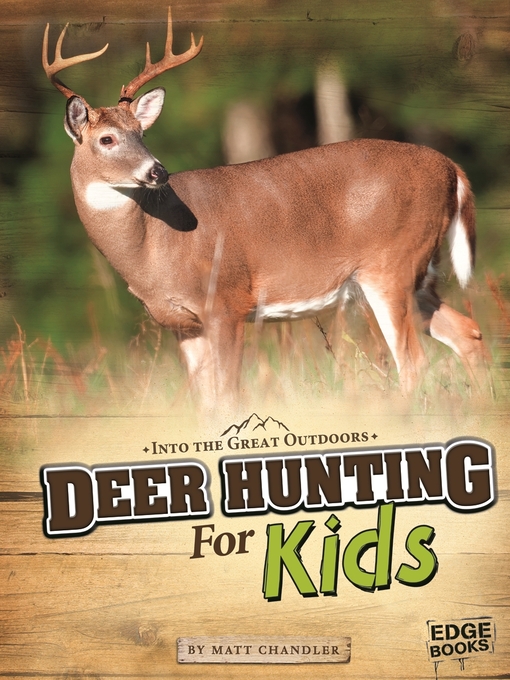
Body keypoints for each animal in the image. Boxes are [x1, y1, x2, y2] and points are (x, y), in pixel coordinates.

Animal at [42, 8, 487, 410]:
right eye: (107, 139)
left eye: (141, 133)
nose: (157, 171)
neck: (152, 249)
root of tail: (452, 168)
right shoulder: (181, 324)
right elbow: (205, 404)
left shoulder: (225, 302)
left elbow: (228, 396)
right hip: (420, 271)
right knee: (468, 333)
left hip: (391, 264)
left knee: (413, 361)